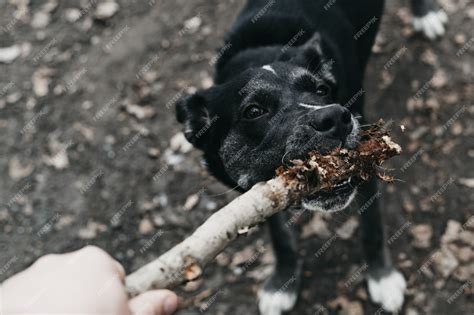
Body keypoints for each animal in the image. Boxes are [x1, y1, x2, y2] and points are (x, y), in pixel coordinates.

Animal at [176, 1, 446, 314]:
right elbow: (281, 238)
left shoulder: (365, 167)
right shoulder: (260, 193)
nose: (336, 118)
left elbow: (372, 227)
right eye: (253, 111)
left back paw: (425, 15)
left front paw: (383, 278)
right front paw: (283, 282)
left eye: (322, 90)